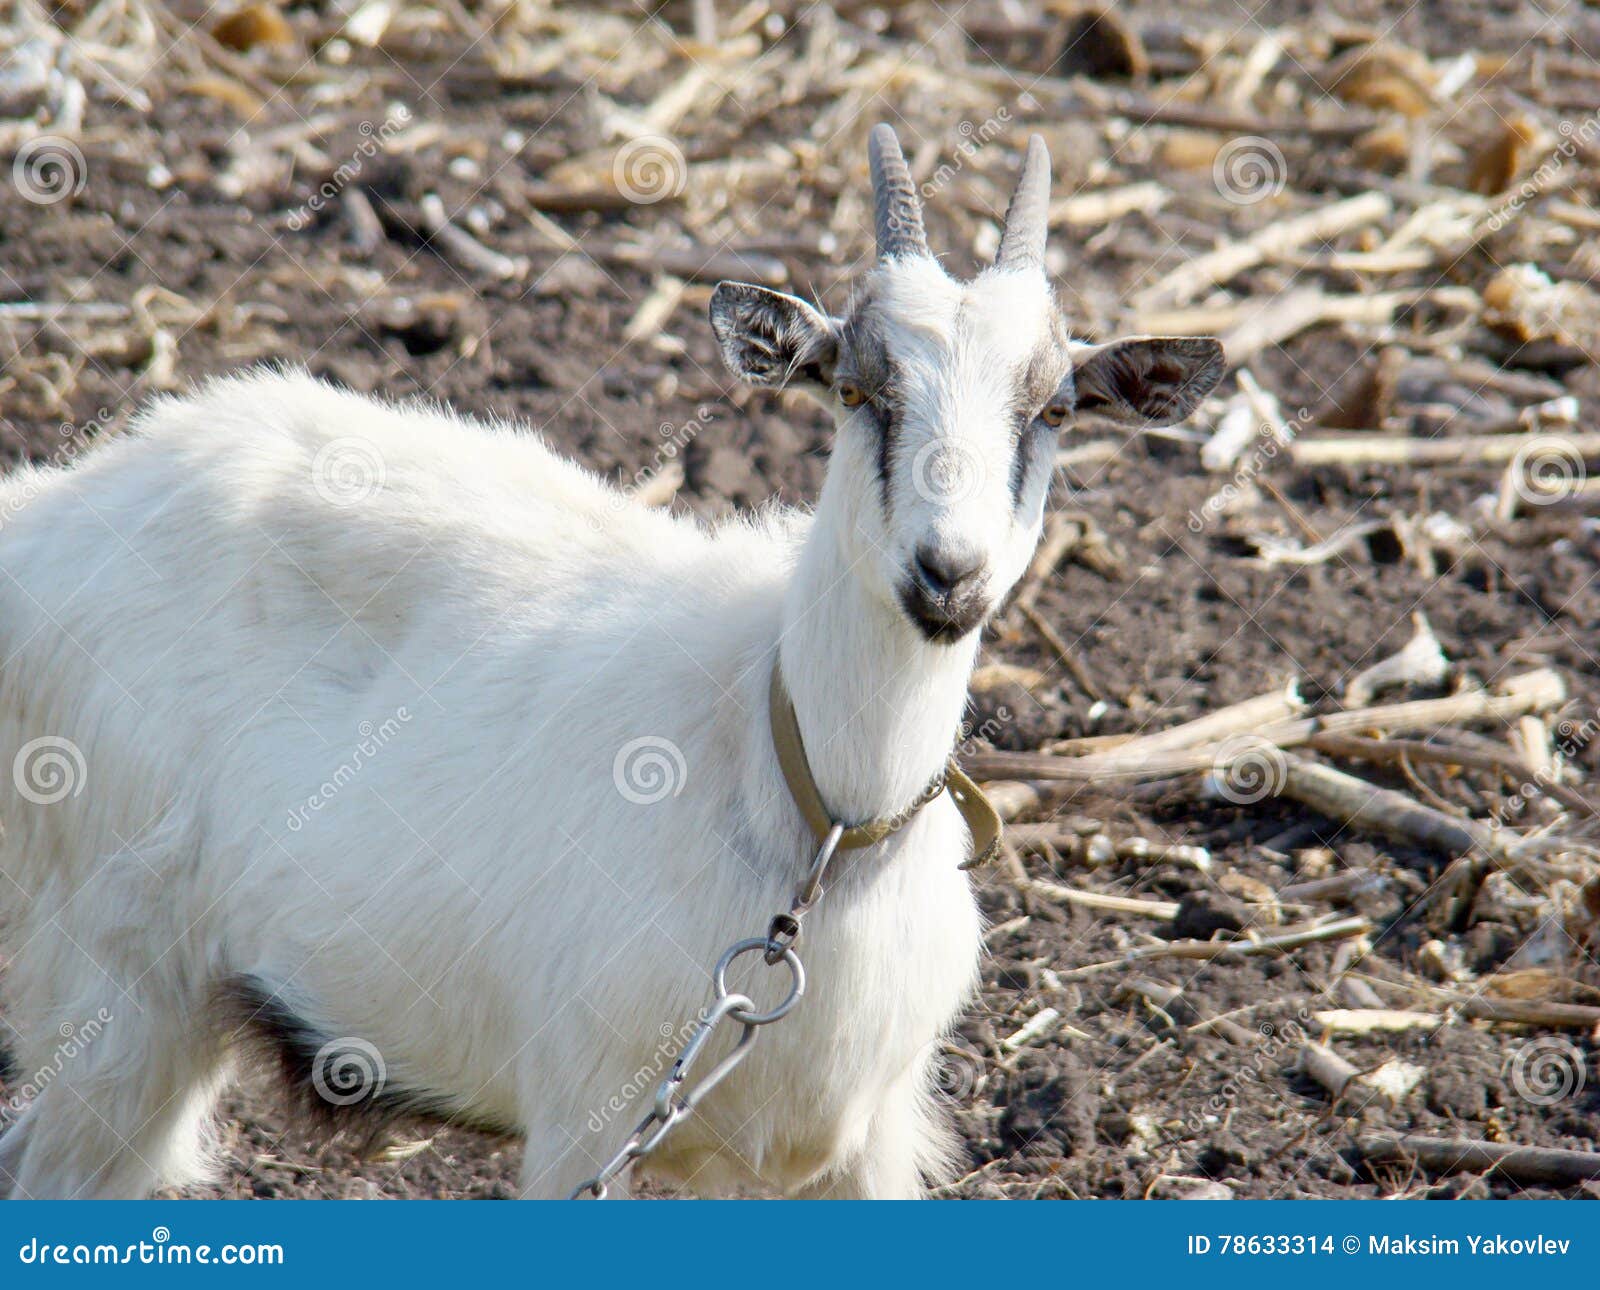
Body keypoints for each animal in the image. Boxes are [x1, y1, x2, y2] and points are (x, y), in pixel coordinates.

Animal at [0, 126, 1222, 1199]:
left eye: (1052, 408)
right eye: (856, 389)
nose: (947, 573)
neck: (806, 808)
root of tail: (52, 511)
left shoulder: (864, 1145)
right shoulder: (584, 1120)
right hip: (116, 1001)